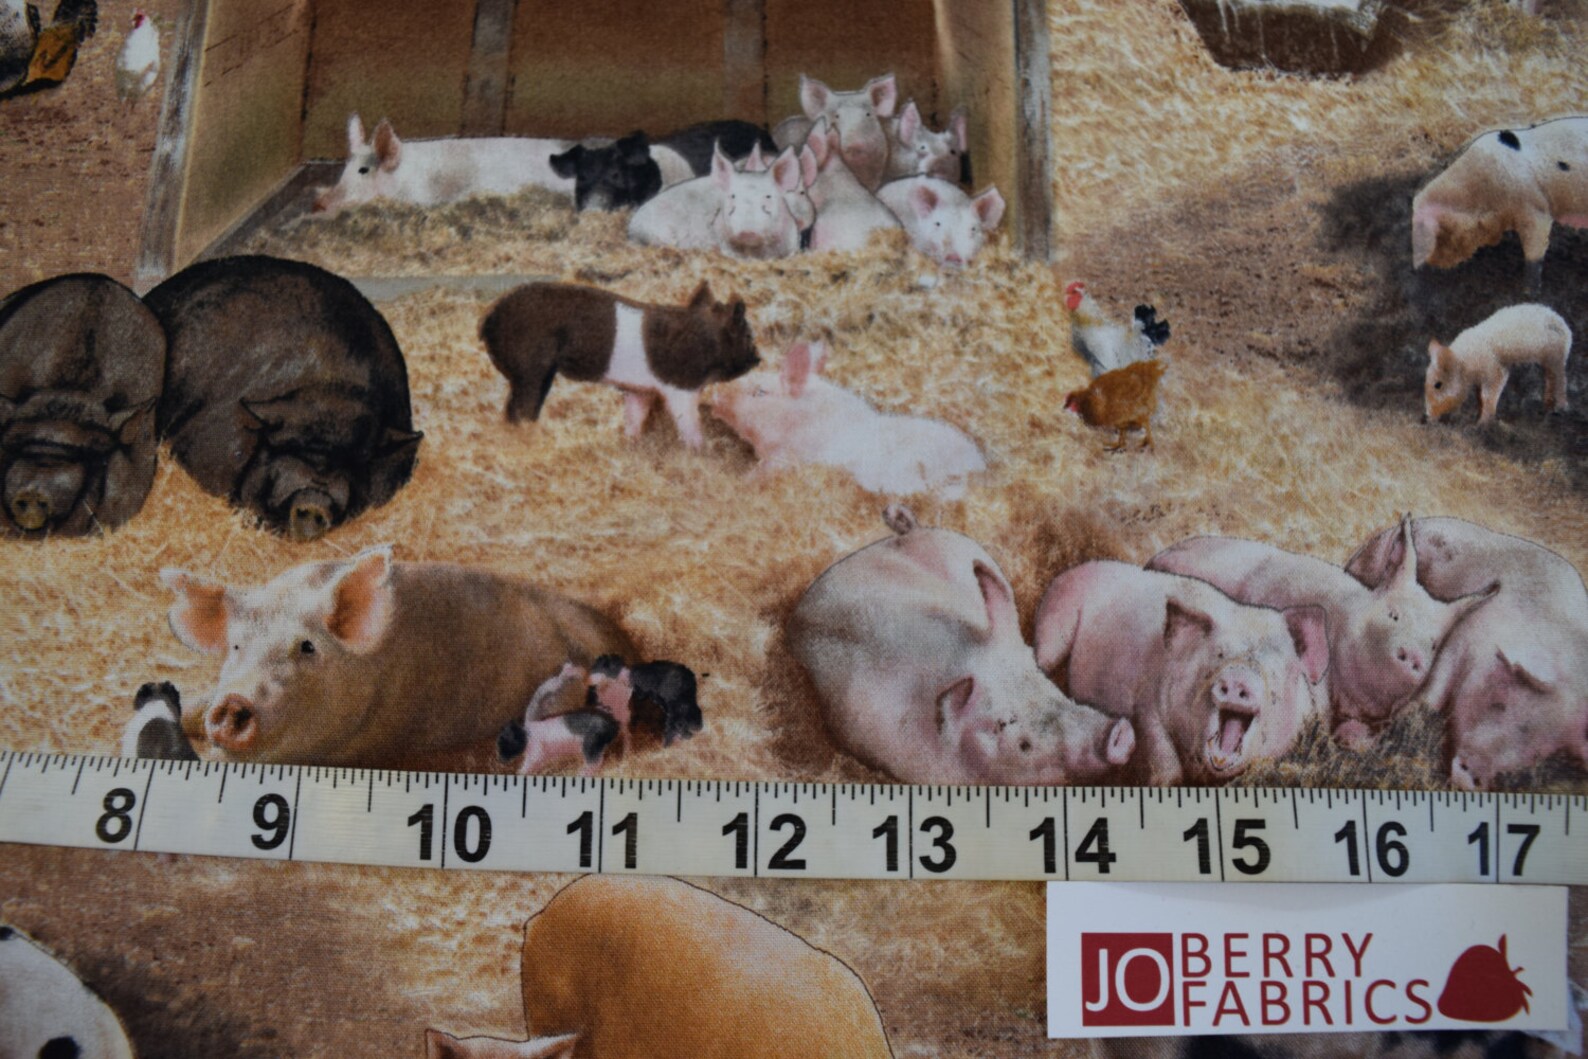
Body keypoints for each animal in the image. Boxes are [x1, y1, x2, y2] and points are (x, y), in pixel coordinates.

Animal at [480, 280, 758, 449]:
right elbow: (689, 423)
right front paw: (701, 451)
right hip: (530, 370)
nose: (758, 357)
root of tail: (488, 321)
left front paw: (631, 444)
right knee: (519, 409)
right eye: (747, 335)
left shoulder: (638, 390)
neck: (706, 338)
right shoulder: (681, 387)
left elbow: (635, 418)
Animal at [711, 340, 985, 500]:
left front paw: (738, 485)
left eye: (759, 392)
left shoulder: (783, 459)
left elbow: (757, 476)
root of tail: (978, 467)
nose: (714, 392)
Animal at [1034, 561, 1330, 785]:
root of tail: (1072, 570)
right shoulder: (1148, 703)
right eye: (1219, 654)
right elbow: (1163, 757)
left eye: (1274, 668)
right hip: (1054, 620)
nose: (1238, 678)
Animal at [1344, 516, 1588, 790]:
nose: (1471, 777)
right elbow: (1426, 698)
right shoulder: (1462, 637)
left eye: (1539, 752)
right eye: (1499, 705)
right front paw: (1361, 742)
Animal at [1423, 303, 1572, 424]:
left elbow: (1488, 395)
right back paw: (1548, 406)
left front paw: (1482, 423)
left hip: (1555, 357)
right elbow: (1480, 397)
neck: (1464, 362)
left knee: (1561, 378)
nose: (1428, 417)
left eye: (1438, 385)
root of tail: (1567, 330)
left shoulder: (1494, 370)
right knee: (1551, 378)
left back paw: (1560, 408)